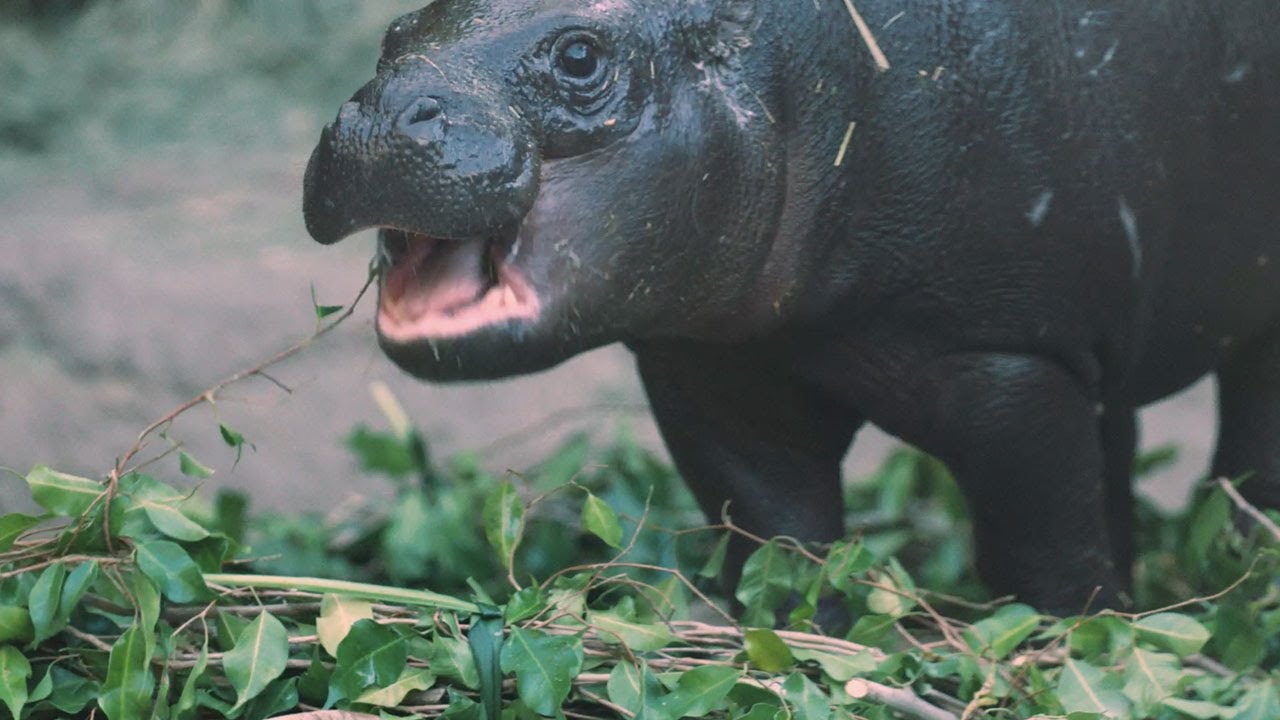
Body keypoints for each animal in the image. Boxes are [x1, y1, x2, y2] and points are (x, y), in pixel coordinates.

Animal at [303, 0, 1280, 614]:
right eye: (395, 32)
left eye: (580, 56)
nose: (376, 116)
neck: (787, 68)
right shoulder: (715, 374)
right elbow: (778, 535)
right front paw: (804, 641)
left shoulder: (1008, 359)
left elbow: (1046, 551)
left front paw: (1079, 642)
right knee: (1115, 442)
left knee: (1246, 446)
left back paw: (1241, 573)